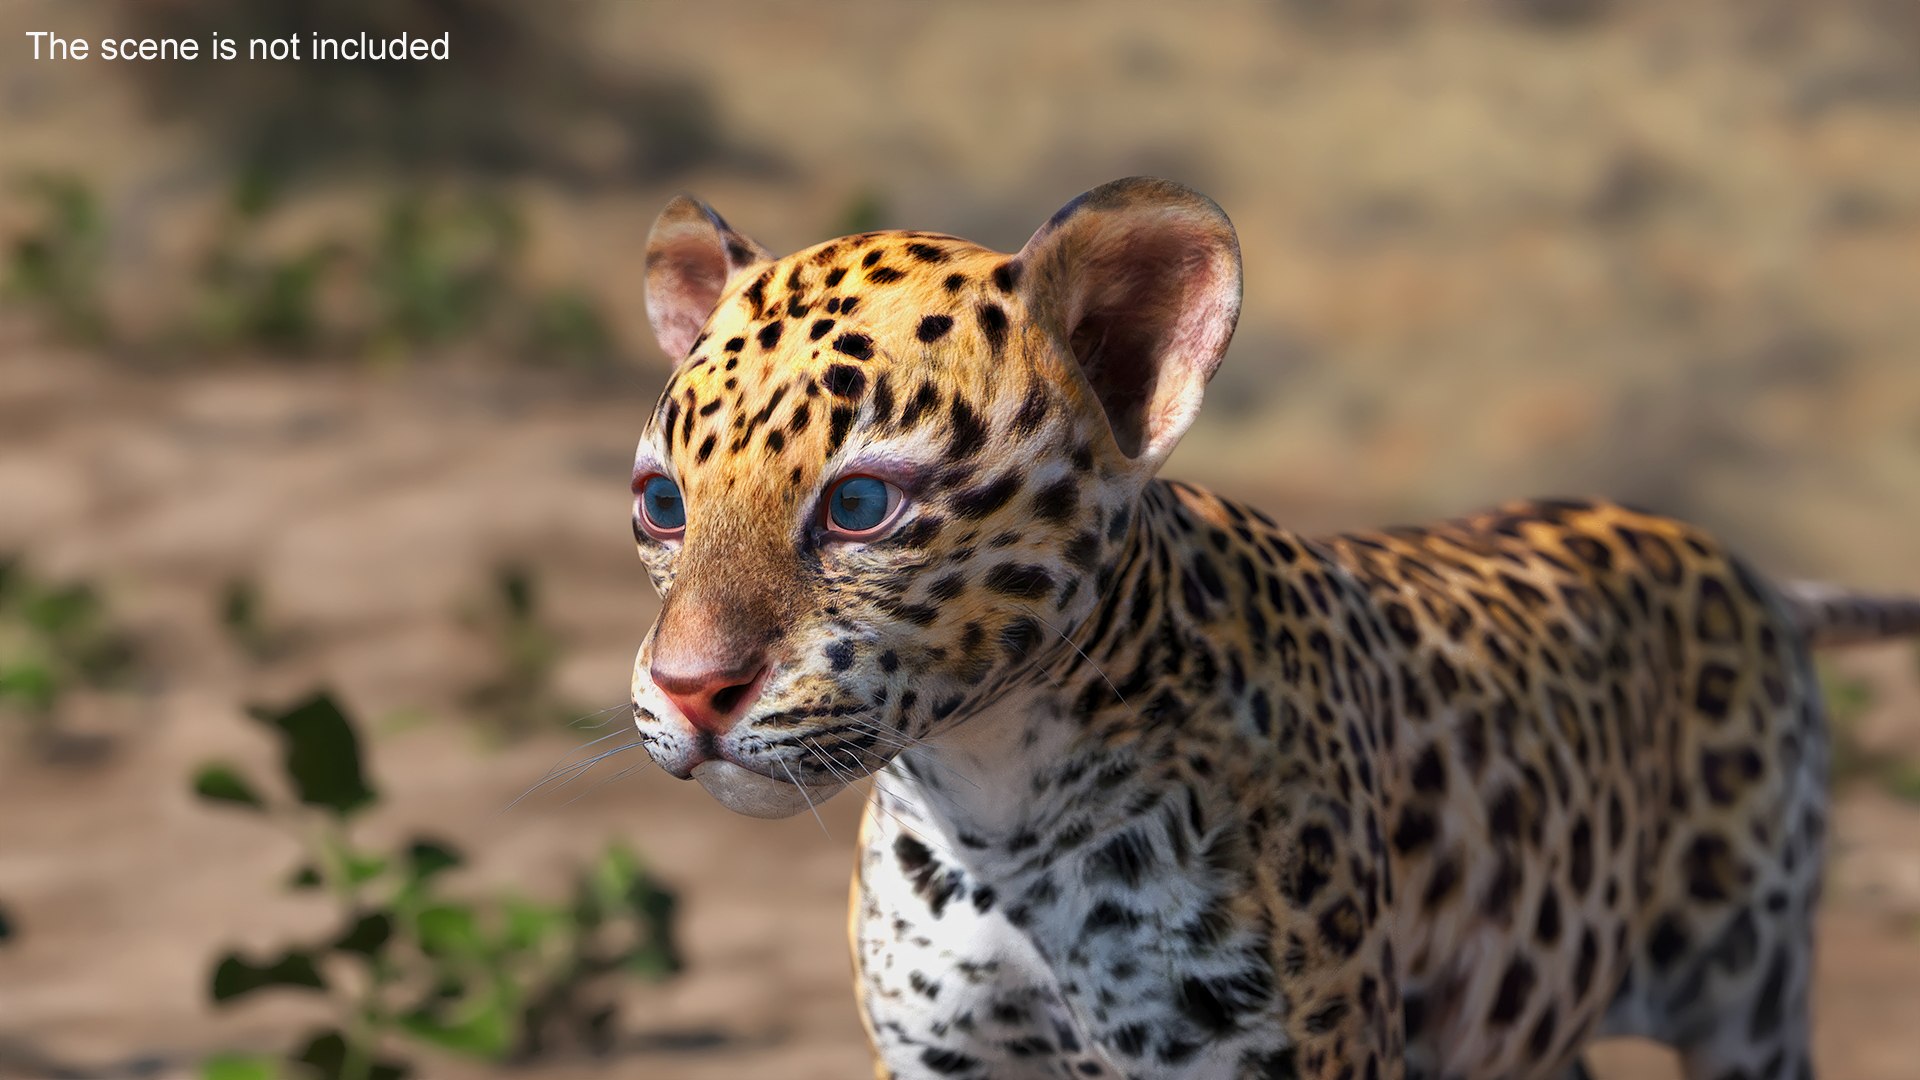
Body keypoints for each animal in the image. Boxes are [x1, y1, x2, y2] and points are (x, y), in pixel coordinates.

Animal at [624, 176, 1920, 1079]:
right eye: (661, 505)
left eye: (860, 508)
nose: (690, 689)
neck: (993, 810)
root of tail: (1741, 566)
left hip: (1749, 992)